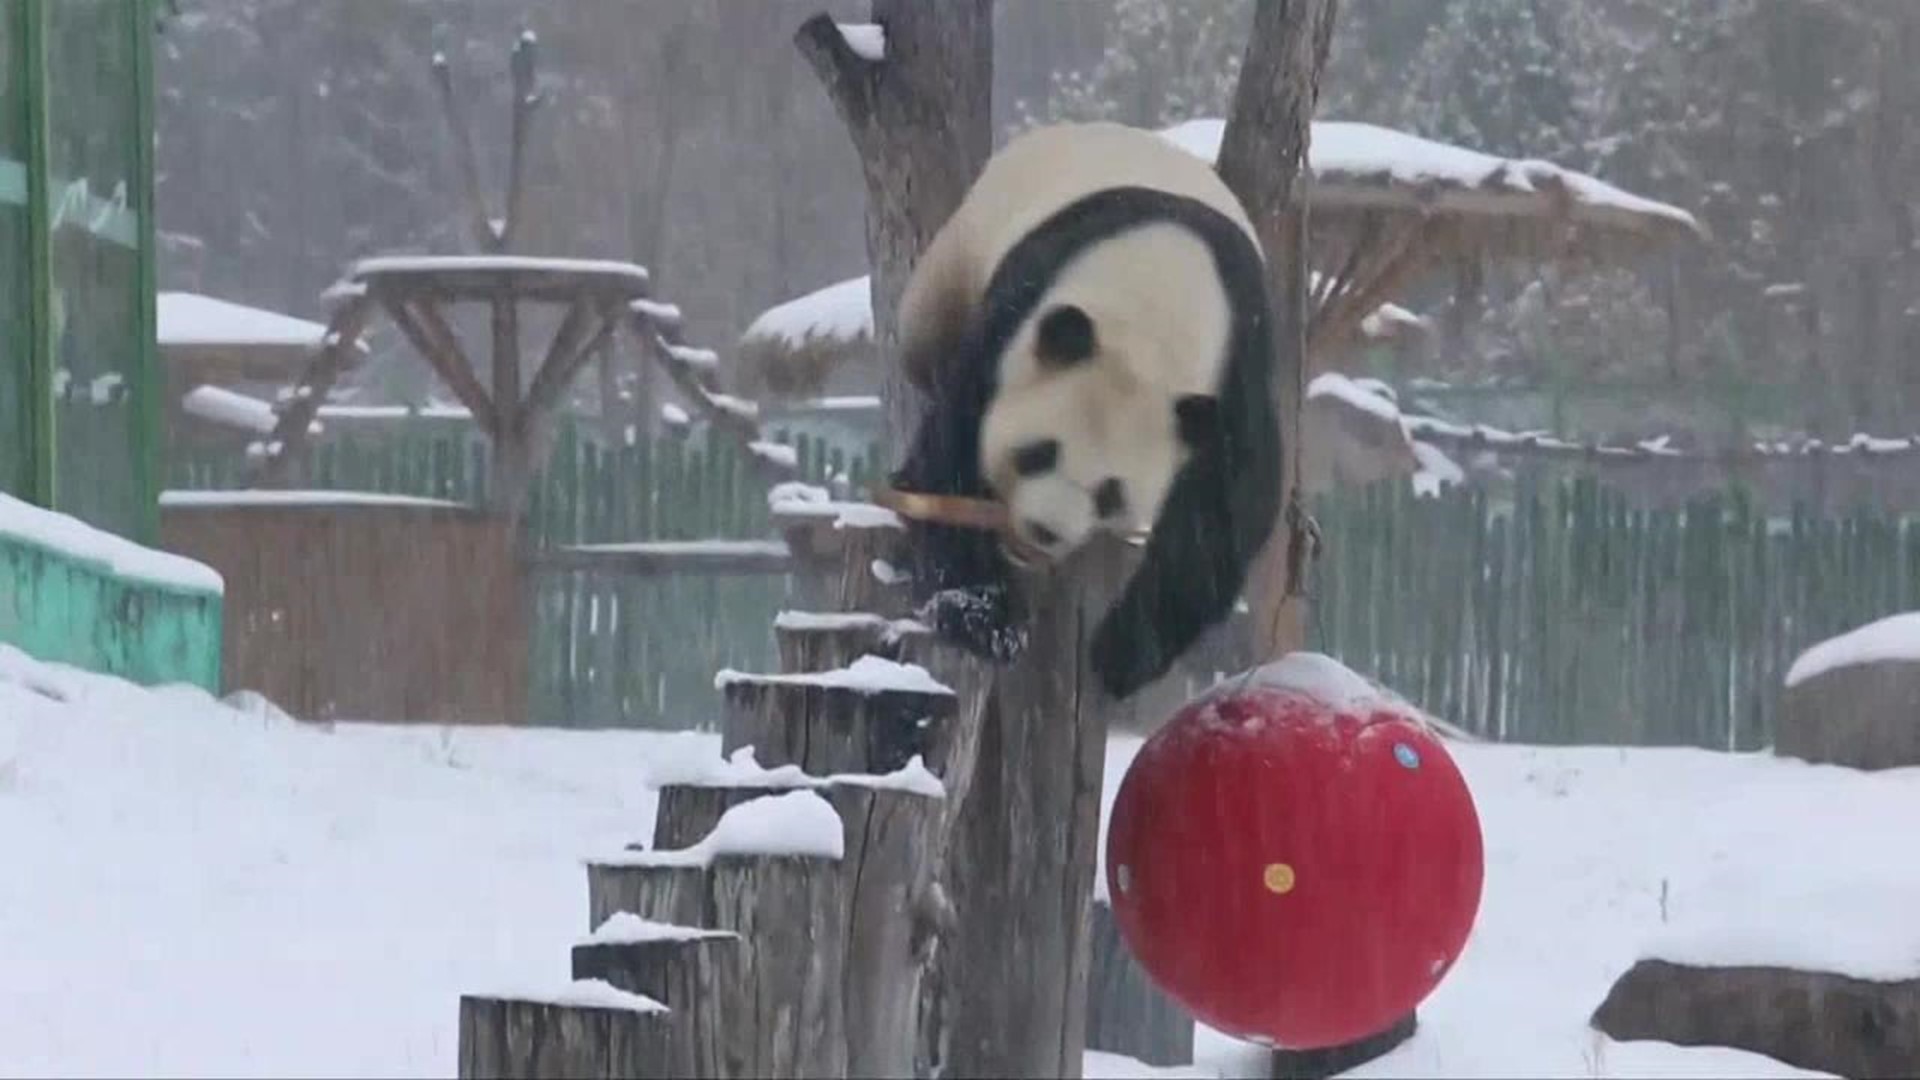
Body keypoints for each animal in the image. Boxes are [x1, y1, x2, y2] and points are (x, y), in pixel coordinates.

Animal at [888, 121, 1283, 702]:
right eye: (1037, 453)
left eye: (1111, 493)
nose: (1044, 530)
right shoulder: (1012, 321)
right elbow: (947, 461)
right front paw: (984, 621)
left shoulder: (1236, 367)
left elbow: (1227, 508)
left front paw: (1125, 653)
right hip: (955, 261)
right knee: (922, 338)